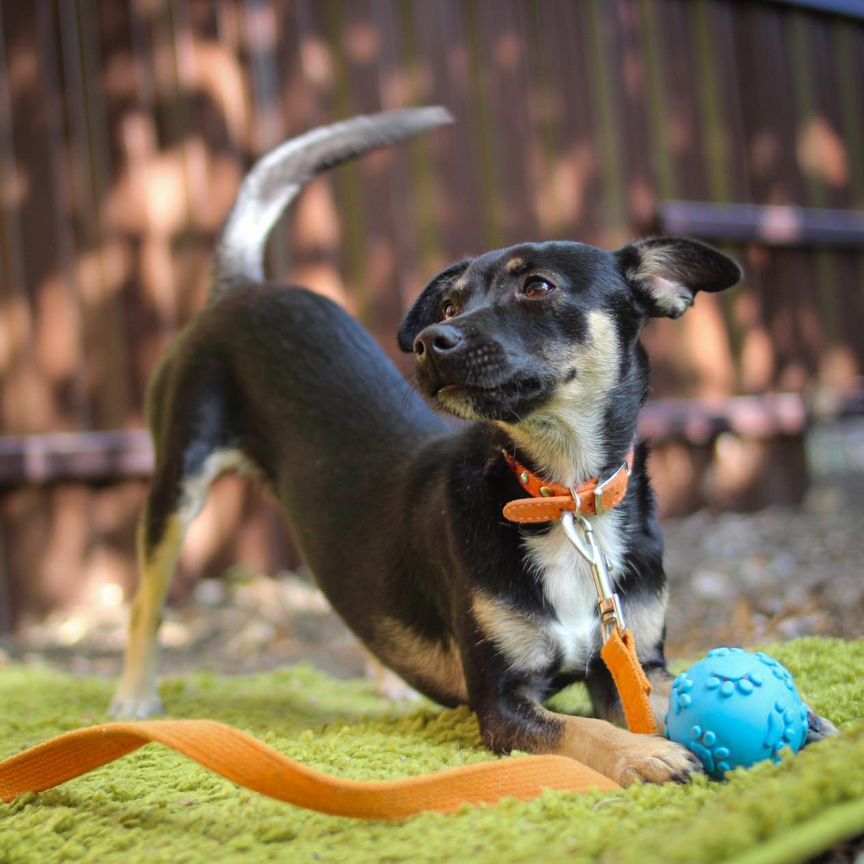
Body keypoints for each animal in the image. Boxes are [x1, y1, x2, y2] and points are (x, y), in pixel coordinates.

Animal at [111, 109, 832, 788]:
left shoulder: (630, 663)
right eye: (451, 304)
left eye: (537, 286)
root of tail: (241, 287)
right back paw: (134, 699)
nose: (431, 340)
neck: (563, 498)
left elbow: (661, 700)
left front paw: (804, 722)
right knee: (147, 601)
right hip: (177, 482)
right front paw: (646, 755)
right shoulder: (500, 701)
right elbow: (587, 732)